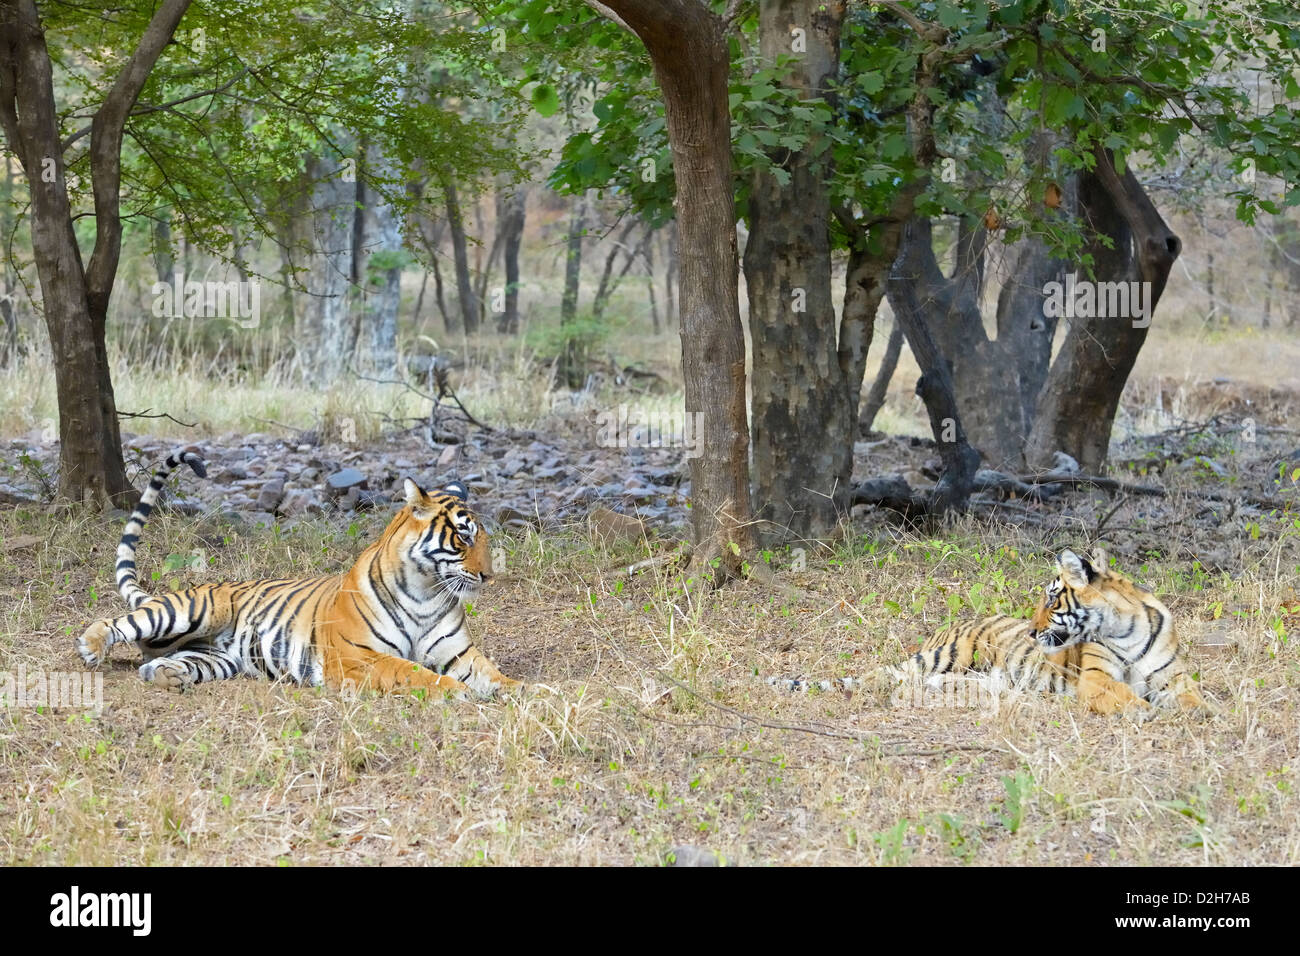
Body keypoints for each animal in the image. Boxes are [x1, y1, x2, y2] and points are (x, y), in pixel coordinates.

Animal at [76, 446, 521, 699]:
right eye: (463, 536)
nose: (489, 576)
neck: (427, 590)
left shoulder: (458, 652)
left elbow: (493, 674)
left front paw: (524, 692)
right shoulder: (356, 656)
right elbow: (412, 672)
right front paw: (456, 692)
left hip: (213, 658)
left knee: (155, 665)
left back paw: (168, 678)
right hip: (191, 609)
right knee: (117, 621)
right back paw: (92, 647)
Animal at [772, 549, 1205, 715]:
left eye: (1052, 600)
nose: (1031, 632)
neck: (1126, 629)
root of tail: (944, 626)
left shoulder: (1176, 678)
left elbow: (1195, 699)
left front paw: (1199, 712)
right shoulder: (1097, 680)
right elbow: (1128, 697)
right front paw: (1147, 711)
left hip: (982, 678)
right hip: (946, 657)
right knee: (884, 677)